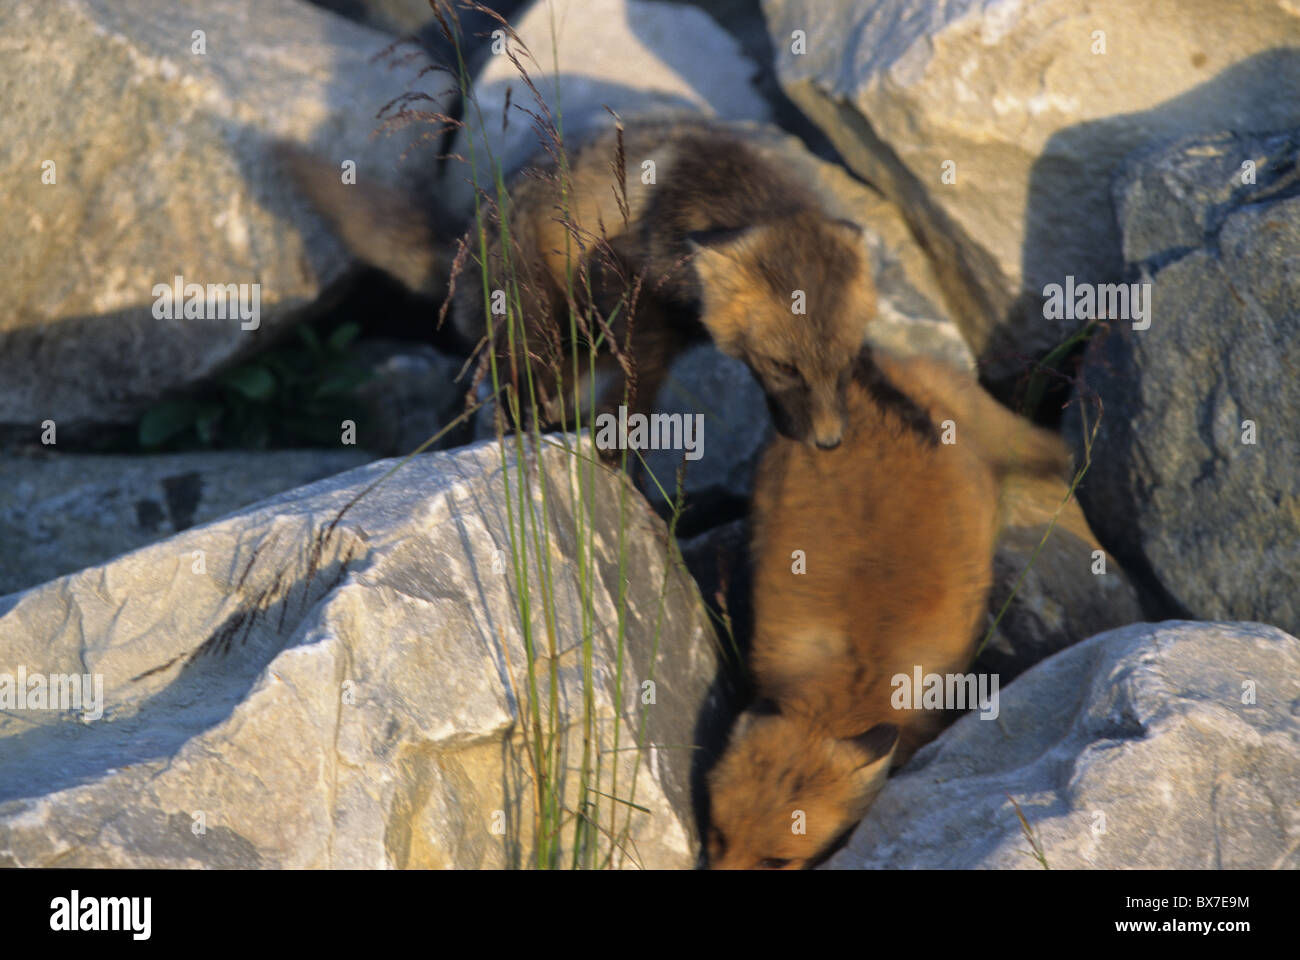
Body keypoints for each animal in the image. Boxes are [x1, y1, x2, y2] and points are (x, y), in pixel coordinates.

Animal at [278, 118, 877, 448]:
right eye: (783, 367)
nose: (829, 443)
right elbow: (628, 413)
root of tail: (466, 240)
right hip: (534, 325)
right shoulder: (629, 301)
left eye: (849, 364)